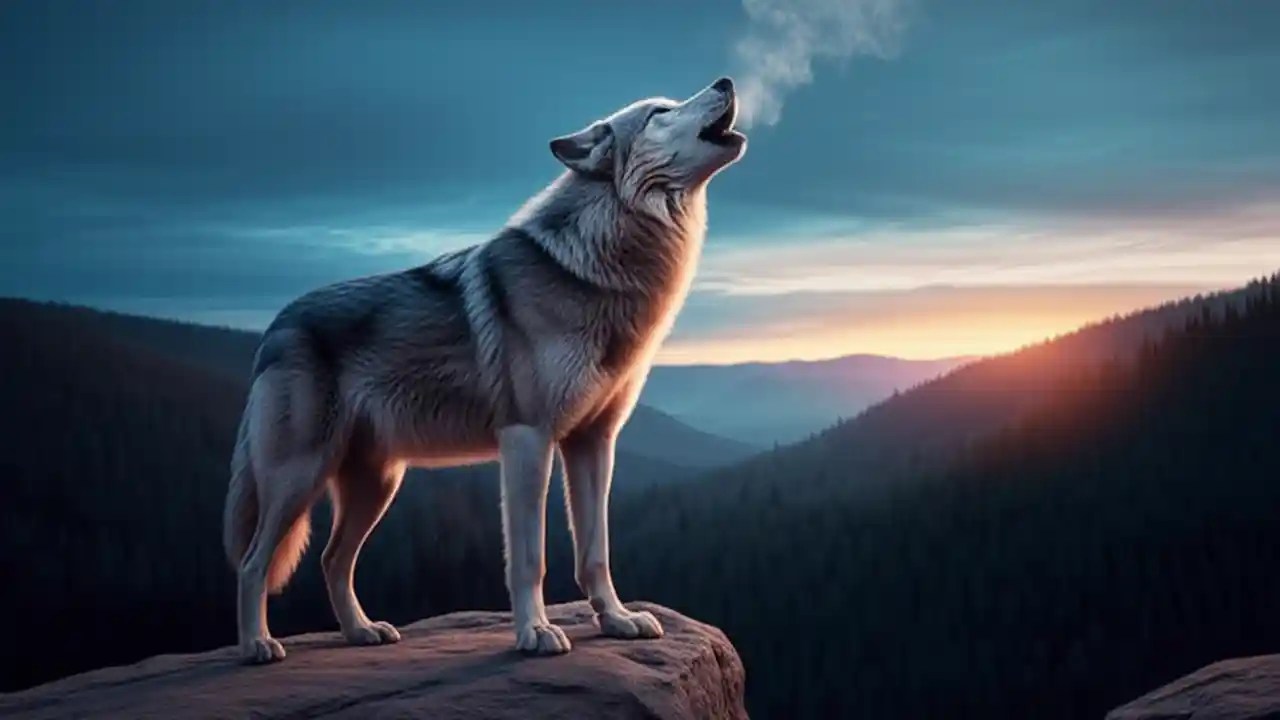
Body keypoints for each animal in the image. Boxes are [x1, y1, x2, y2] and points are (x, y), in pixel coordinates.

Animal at [223, 77, 746, 663]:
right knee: (253, 562)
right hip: (300, 477)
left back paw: (362, 632)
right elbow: (530, 557)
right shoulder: (527, 438)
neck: (598, 266)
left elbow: (595, 552)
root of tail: (274, 327)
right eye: (661, 112)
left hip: (378, 484)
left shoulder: (593, 442)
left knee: (332, 560)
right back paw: (257, 644)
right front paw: (535, 632)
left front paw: (617, 620)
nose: (725, 81)